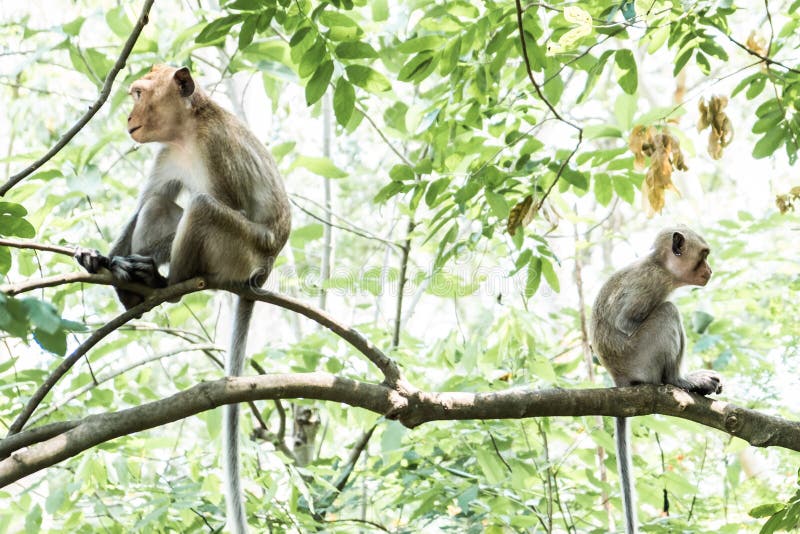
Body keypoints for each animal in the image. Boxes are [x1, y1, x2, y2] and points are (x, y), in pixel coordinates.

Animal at [75, 65, 290, 534]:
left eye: (139, 94)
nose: (128, 116)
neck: (187, 132)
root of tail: (265, 268)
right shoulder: (164, 155)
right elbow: (146, 202)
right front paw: (100, 257)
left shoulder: (219, 149)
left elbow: (228, 203)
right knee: (158, 204)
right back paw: (131, 291)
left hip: (241, 252)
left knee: (204, 208)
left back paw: (163, 283)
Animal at [590, 227, 722, 534]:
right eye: (704, 256)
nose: (710, 269)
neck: (660, 266)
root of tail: (618, 378)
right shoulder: (650, 284)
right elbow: (627, 322)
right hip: (640, 357)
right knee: (668, 312)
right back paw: (680, 380)